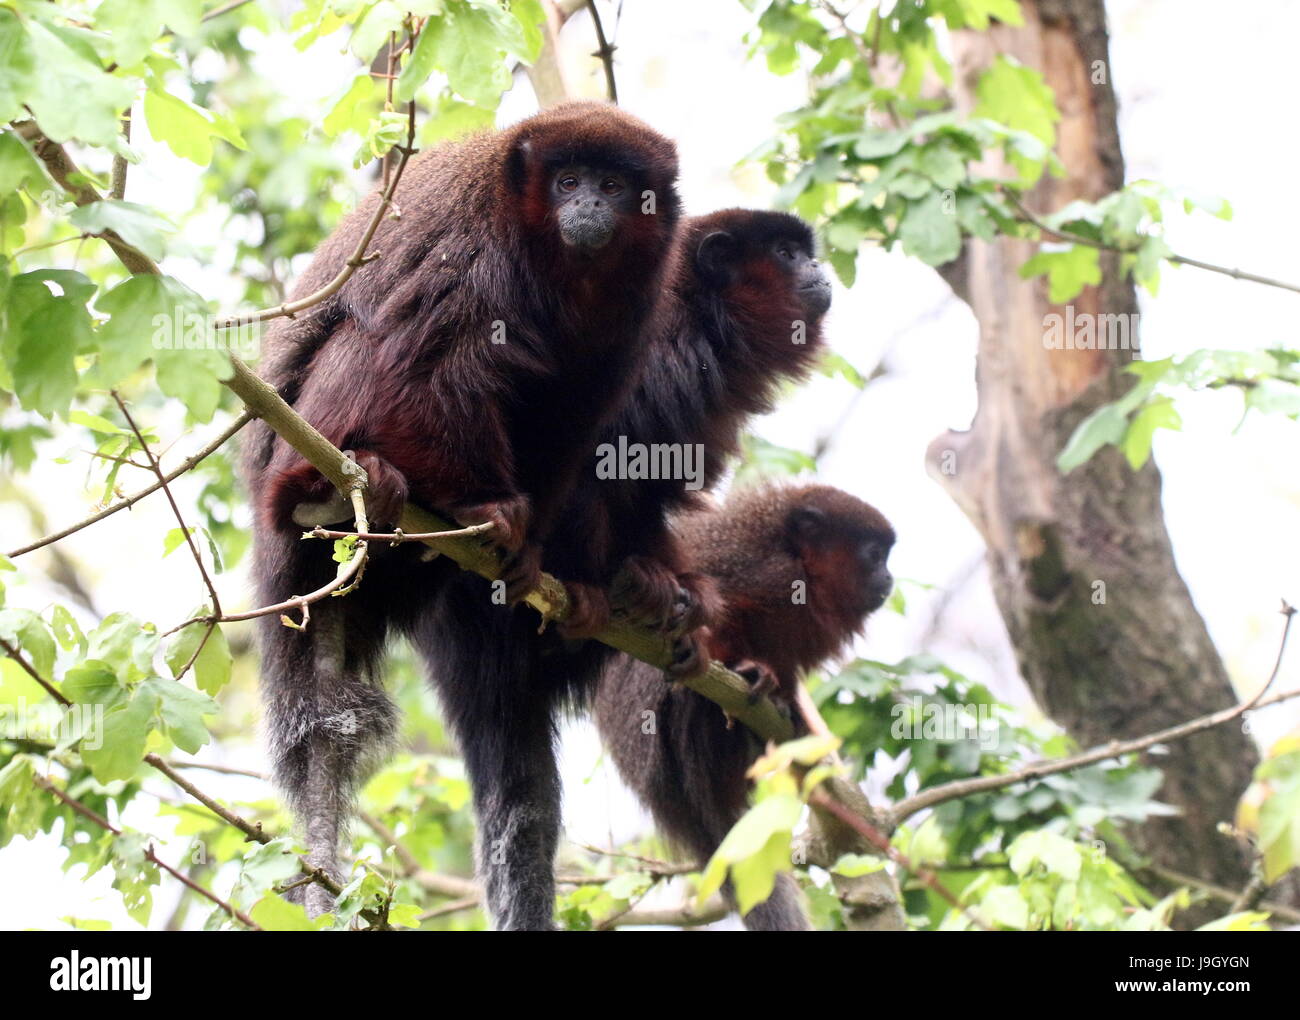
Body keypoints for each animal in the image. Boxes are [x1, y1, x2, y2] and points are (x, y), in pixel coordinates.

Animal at [239, 102, 682, 924]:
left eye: (613, 185)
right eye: (568, 181)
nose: (588, 205)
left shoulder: (637, 305)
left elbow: (571, 409)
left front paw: (533, 552)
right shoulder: (473, 245)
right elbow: (435, 358)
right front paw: (483, 507)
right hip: (289, 454)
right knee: (369, 336)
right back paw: (333, 488)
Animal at [593, 484, 895, 930]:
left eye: (885, 558)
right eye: (874, 555)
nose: (889, 577)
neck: (799, 564)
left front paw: (788, 704)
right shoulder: (763, 571)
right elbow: (705, 607)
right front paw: (736, 664)